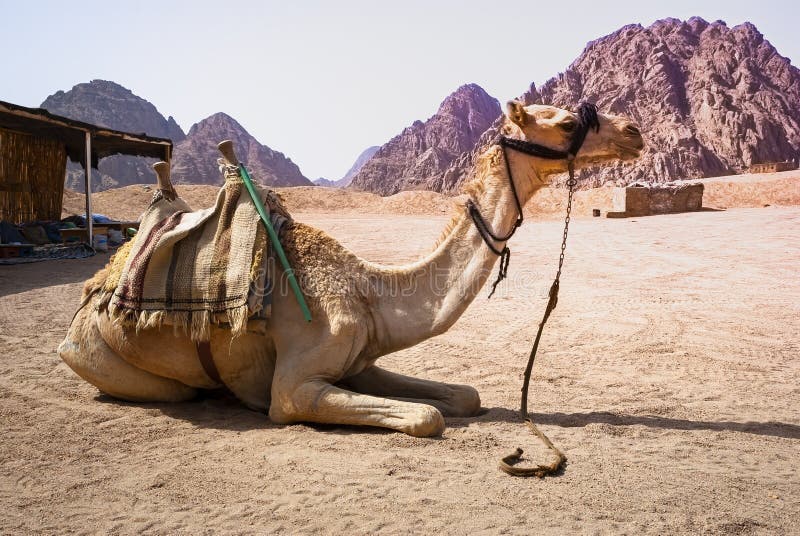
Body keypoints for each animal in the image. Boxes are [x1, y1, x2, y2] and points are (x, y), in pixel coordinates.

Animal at [58, 101, 643, 437]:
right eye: (565, 122)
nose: (635, 130)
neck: (369, 291)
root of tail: (91, 293)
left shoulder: (360, 362)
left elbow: (463, 396)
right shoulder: (296, 386)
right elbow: (426, 417)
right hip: (98, 357)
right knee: (172, 389)